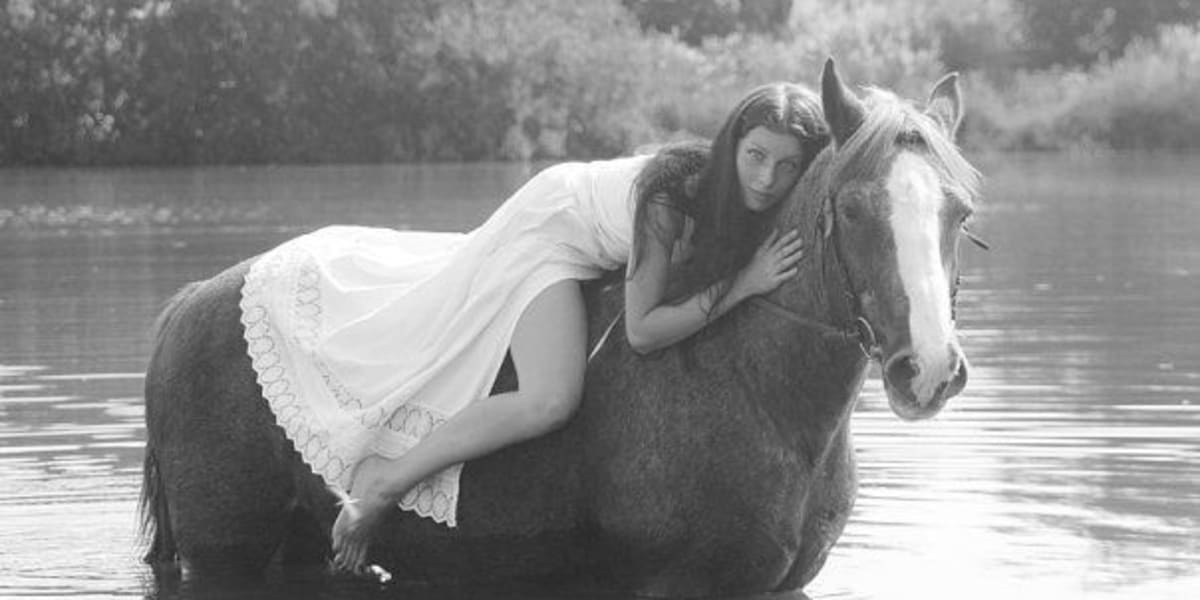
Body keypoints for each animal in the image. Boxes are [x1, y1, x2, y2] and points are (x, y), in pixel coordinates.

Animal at [139, 59, 981, 597]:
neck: (752, 381)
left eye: (960, 212)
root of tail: (193, 301)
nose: (928, 370)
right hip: (226, 554)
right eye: (855, 208)